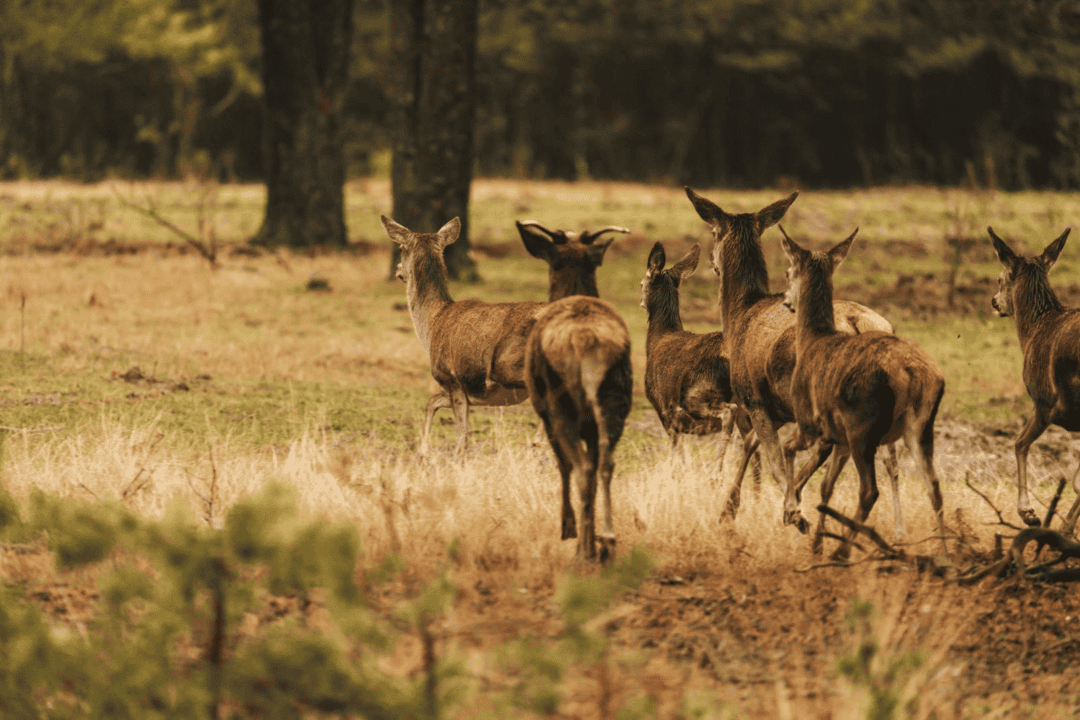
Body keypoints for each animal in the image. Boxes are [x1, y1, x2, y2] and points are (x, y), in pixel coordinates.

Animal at [380, 214, 627, 456]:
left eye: (401, 247)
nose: (398, 269)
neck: (433, 323)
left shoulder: (451, 378)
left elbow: (460, 435)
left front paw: (433, 453)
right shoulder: (467, 392)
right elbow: (433, 403)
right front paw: (424, 449)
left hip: (514, 366)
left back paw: (538, 442)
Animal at [525, 295, 633, 562]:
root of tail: (584, 340)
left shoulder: (548, 418)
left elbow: (563, 466)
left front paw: (569, 528)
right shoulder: (592, 430)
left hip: (559, 407)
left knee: (581, 469)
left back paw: (584, 552)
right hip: (615, 398)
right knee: (605, 464)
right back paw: (607, 541)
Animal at [640, 241, 760, 505]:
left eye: (641, 283)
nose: (640, 301)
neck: (659, 338)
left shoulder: (667, 412)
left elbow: (678, 462)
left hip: (698, 392)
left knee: (728, 413)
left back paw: (716, 477)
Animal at [684, 188, 903, 542]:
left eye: (714, 232)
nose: (711, 263)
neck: (738, 316)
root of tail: (861, 325)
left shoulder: (752, 395)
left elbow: (767, 454)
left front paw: (770, 508)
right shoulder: (772, 407)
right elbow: (754, 444)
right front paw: (731, 509)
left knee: (828, 448)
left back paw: (800, 511)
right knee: (886, 459)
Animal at [778, 227, 947, 558]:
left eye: (788, 271)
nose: (786, 301)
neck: (811, 341)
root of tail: (914, 373)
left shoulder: (808, 422)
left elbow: (788, 449)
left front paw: (794, 513)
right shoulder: (837, 437)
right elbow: (826, 486)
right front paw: (815, 541)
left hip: (863, 425)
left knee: (870, 490)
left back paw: (843, 551)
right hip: (920, 426)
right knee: (933, 486)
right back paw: (951, 550)